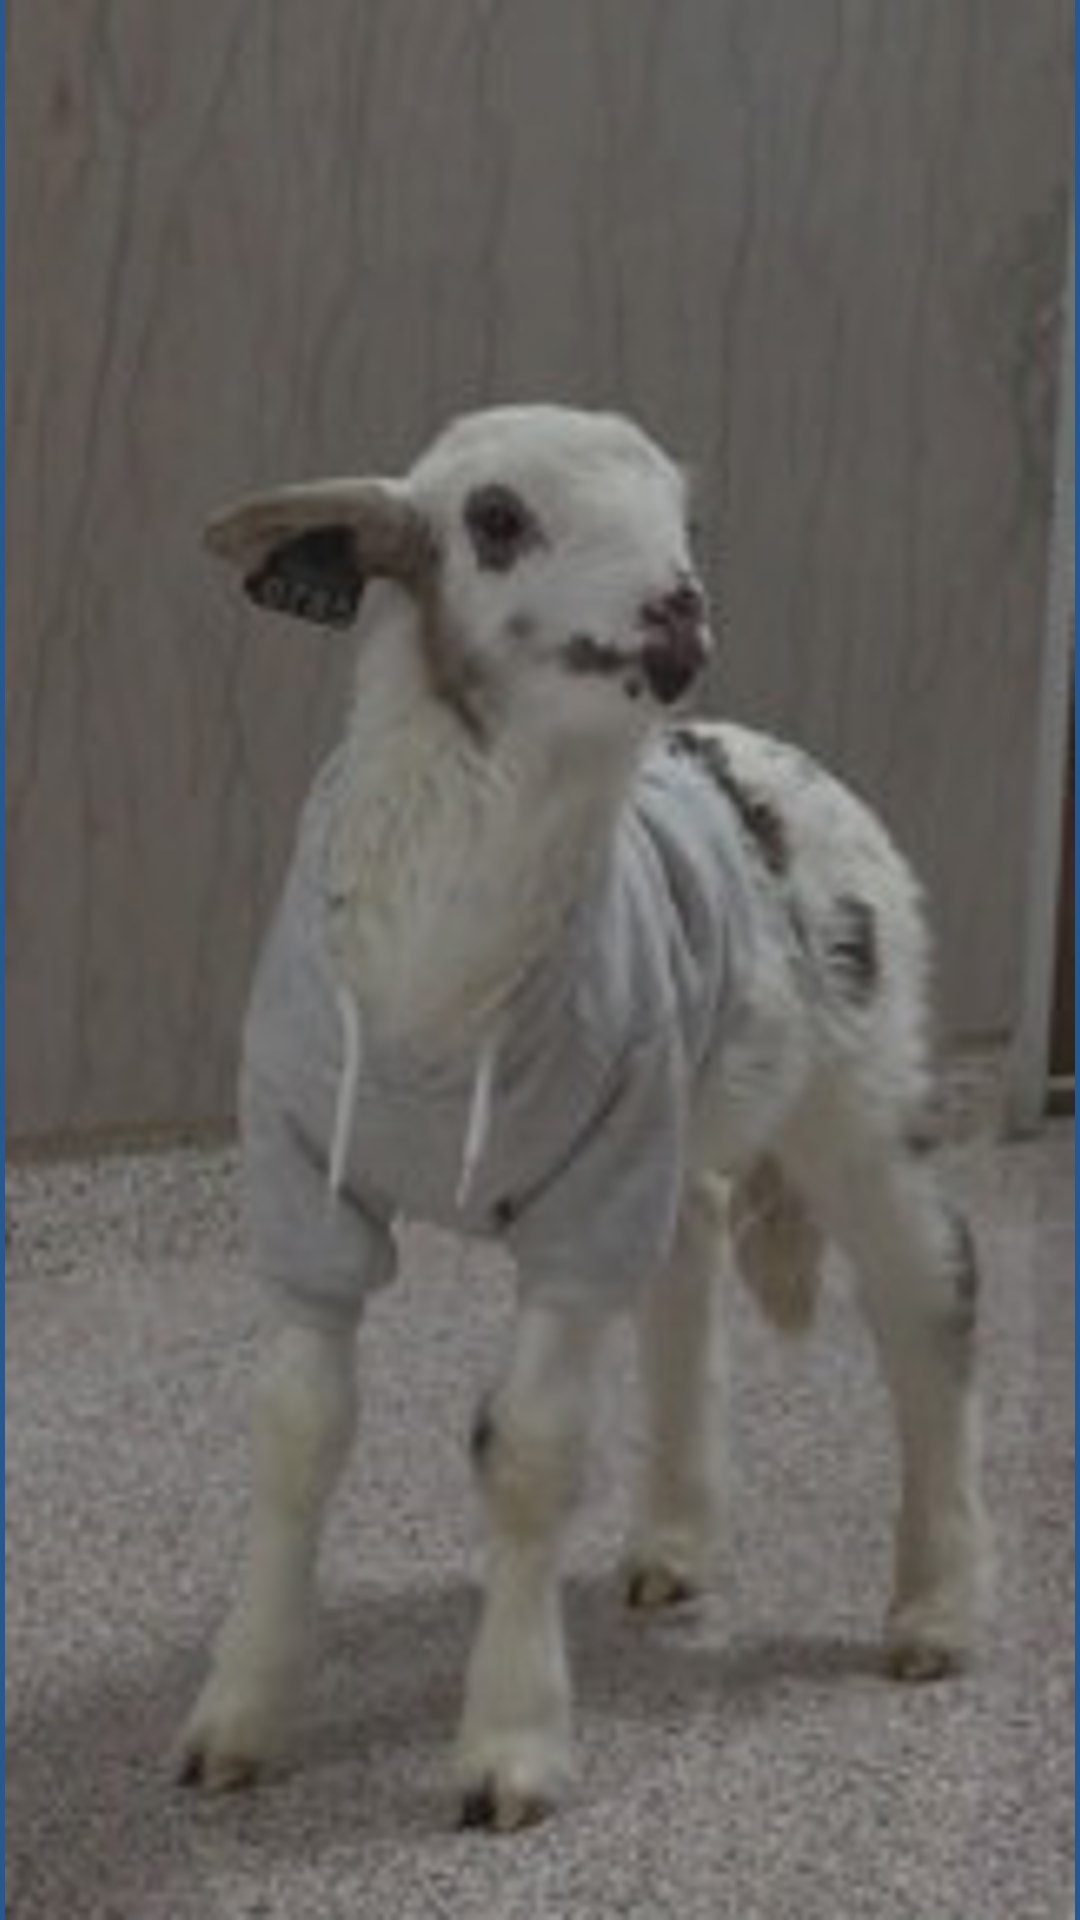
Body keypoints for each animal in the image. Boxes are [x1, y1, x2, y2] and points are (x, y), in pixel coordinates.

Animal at [176, 404, 990, 1832]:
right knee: (688, 1266)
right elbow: (295, 1432)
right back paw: (673, 1544)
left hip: (861, 1070)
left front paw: (510, 1749)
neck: (438, 996)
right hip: (682, 1110)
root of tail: (772, 753)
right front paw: (240, 1716)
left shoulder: (582, 1203)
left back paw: (935, 1610)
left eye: (687, 518)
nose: (678, 608)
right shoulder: (302, 1175)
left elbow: (528, 1450)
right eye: (496, 519)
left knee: (928, 1294)